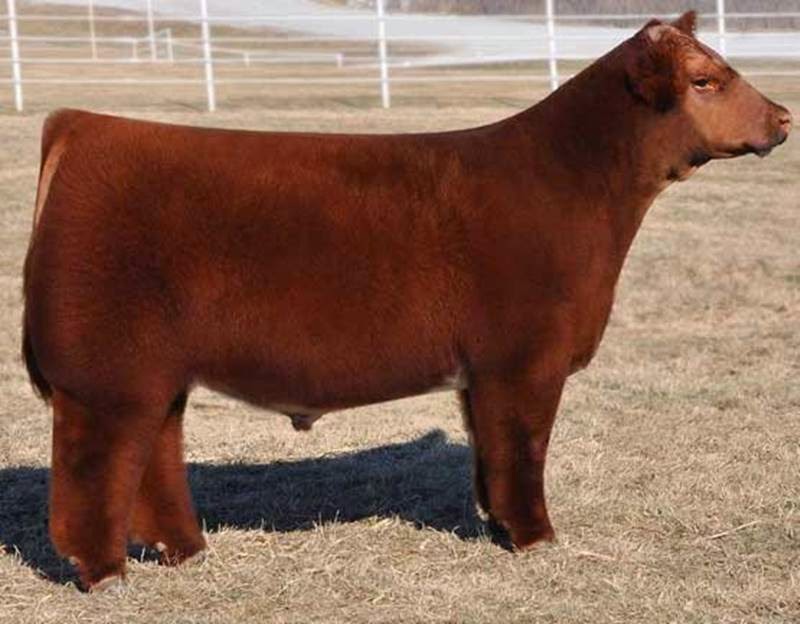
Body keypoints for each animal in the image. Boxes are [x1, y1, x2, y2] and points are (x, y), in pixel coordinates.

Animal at [21, 11, 791, 591]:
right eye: (705, 80)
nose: (784, 117)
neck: (571, 183)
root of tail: (83, 125)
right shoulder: (522, 362)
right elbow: (522, 452)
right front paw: (537, 538)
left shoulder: (483, 375)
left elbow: (489, 457)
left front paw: (497, 529)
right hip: (106, 377)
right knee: (92, 476)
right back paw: (106, 575)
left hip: (156, 376)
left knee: (154, 458)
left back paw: (188, 552)